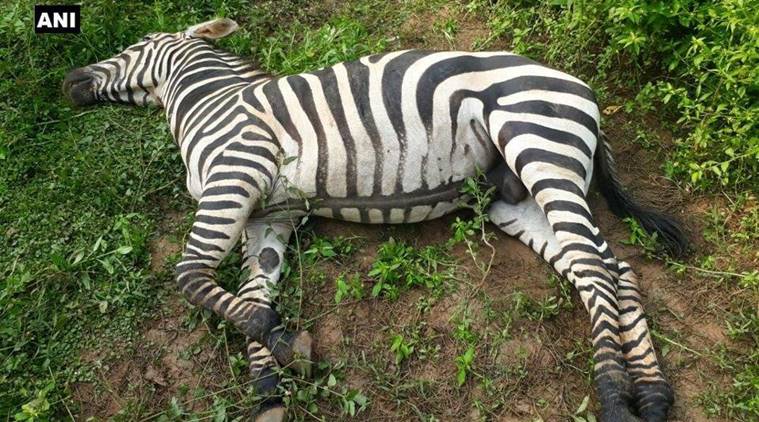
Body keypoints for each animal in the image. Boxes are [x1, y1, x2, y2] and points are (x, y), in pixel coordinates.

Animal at [63, 18, 687, 422]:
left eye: (134, 47)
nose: (68, 79)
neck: (208, 102)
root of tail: (582, 88)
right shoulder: (271, 215)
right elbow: (253, 293)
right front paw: (269, 385)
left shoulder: (235, 173)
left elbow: (191, 276)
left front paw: (287, 345)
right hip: (514, 196)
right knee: (608, 271)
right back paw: (652, 394)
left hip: (539, 145)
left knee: (598, 271)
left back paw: (615, 396)